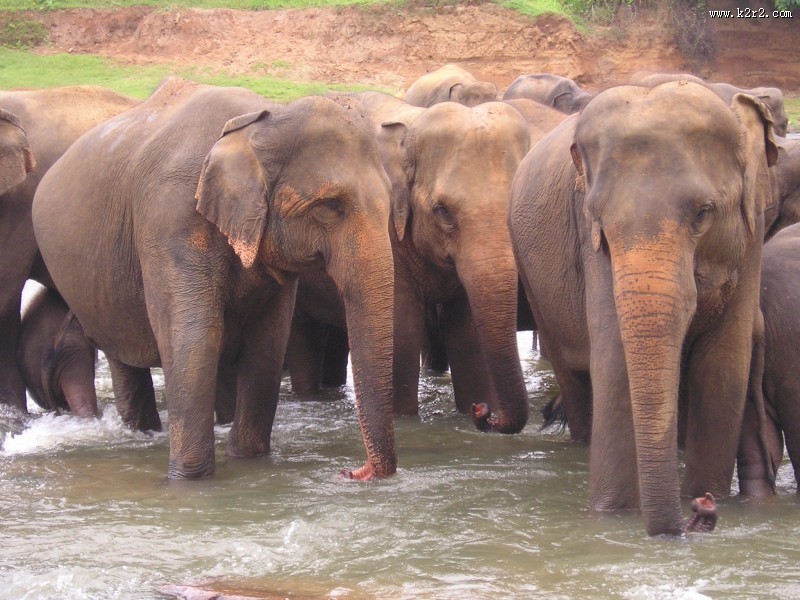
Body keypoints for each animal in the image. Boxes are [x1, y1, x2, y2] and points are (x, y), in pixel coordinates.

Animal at [32, 78, 397, 481]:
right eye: (330, 206)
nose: (351, 471)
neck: (262, 120)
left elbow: (268, 339)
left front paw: (249, 460)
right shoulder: (170, 218)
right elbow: (194, 334)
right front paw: (190, 481)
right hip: (95, 293)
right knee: (124, 357)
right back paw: (141, 434)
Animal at [288, 92, 531, 433]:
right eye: (443, 211)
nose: (483, 412)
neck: (411, 126)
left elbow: (467, 338)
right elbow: (400, 336)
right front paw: (406, 423)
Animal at [509, 81, 777, 536]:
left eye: (703, 213)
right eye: (601, 221)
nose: (702, 511)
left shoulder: (752, 235)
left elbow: (722, 367)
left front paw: (707, 493)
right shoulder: (590, 244)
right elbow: (614, 362)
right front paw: (613, 518)